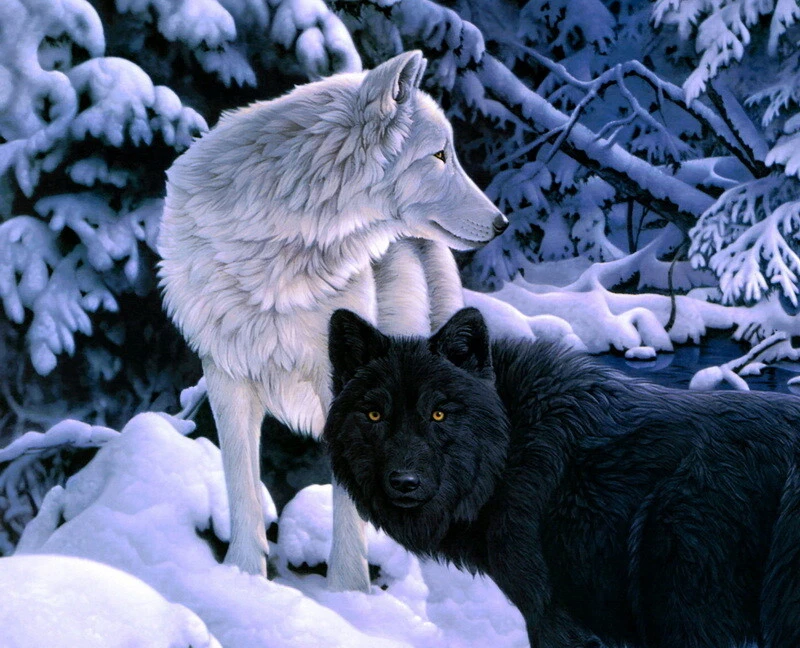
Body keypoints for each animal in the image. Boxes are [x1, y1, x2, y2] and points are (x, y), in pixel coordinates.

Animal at [157, 51, 506, 590]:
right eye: (439, 155)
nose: (501, 222)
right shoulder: (225, 375)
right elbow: (241, 484)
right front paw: (242, 579)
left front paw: (348, 593)